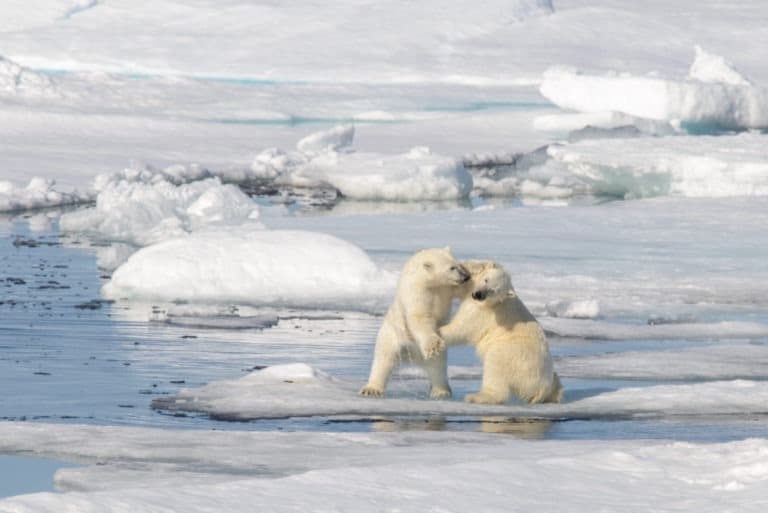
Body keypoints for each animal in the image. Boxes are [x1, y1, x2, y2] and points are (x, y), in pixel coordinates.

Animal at [359, 247, 470, 399]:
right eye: (451, 268)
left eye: (458, 265)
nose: (466, 277)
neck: (430, 283)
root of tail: (411, 355)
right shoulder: (416, 291)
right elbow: (419, 317)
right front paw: (433, 345)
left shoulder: (447, 289)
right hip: (390, 338)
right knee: (383, 362)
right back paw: (371, 389)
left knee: (437, 367)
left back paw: (441, 391)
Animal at [439, 260, 562, 404]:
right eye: (486, 280)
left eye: (493, 291)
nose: (478, 294)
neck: (496, 303)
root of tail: (542, 387)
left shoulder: (484, 313)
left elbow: (461, 329)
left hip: (512, 353)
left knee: (494, 366)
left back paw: (477, 396)